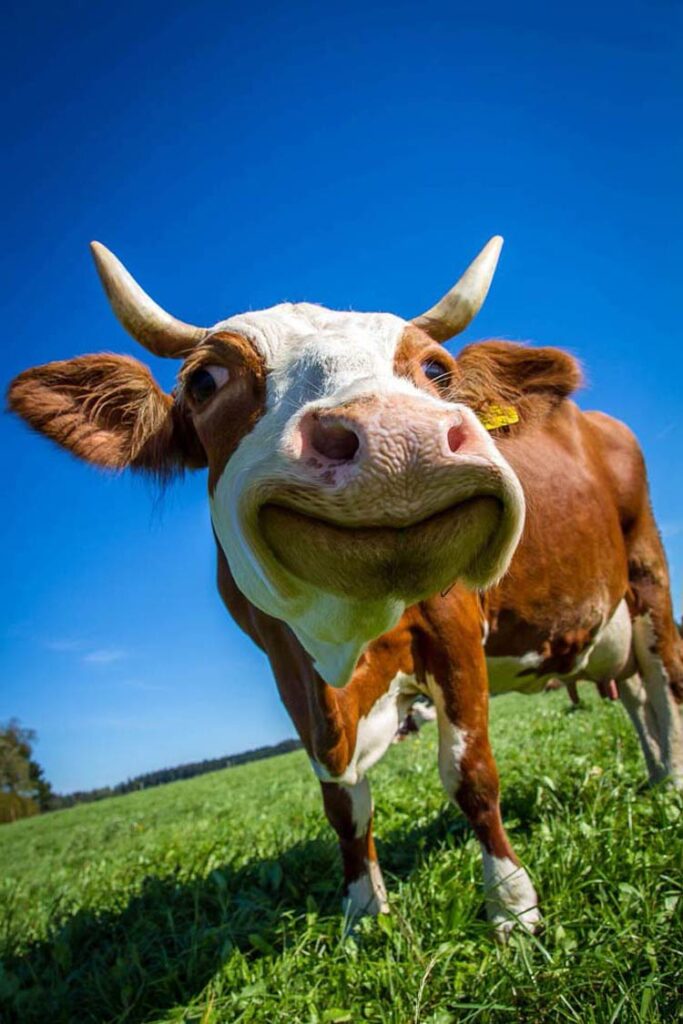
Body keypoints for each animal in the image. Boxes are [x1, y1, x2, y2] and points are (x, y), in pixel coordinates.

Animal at [9, 237, 683, 939]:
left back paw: (671, 786)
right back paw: (654, 773)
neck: (346, 638)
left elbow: (470, 773)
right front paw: (363, 911)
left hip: (649, 576)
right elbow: (341, 800)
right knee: (636, 694)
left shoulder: (454, 628)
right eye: (204, 382)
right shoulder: (287, 666)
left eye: (436, 370)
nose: (399, 437)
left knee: (665, 682)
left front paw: (512, 906)